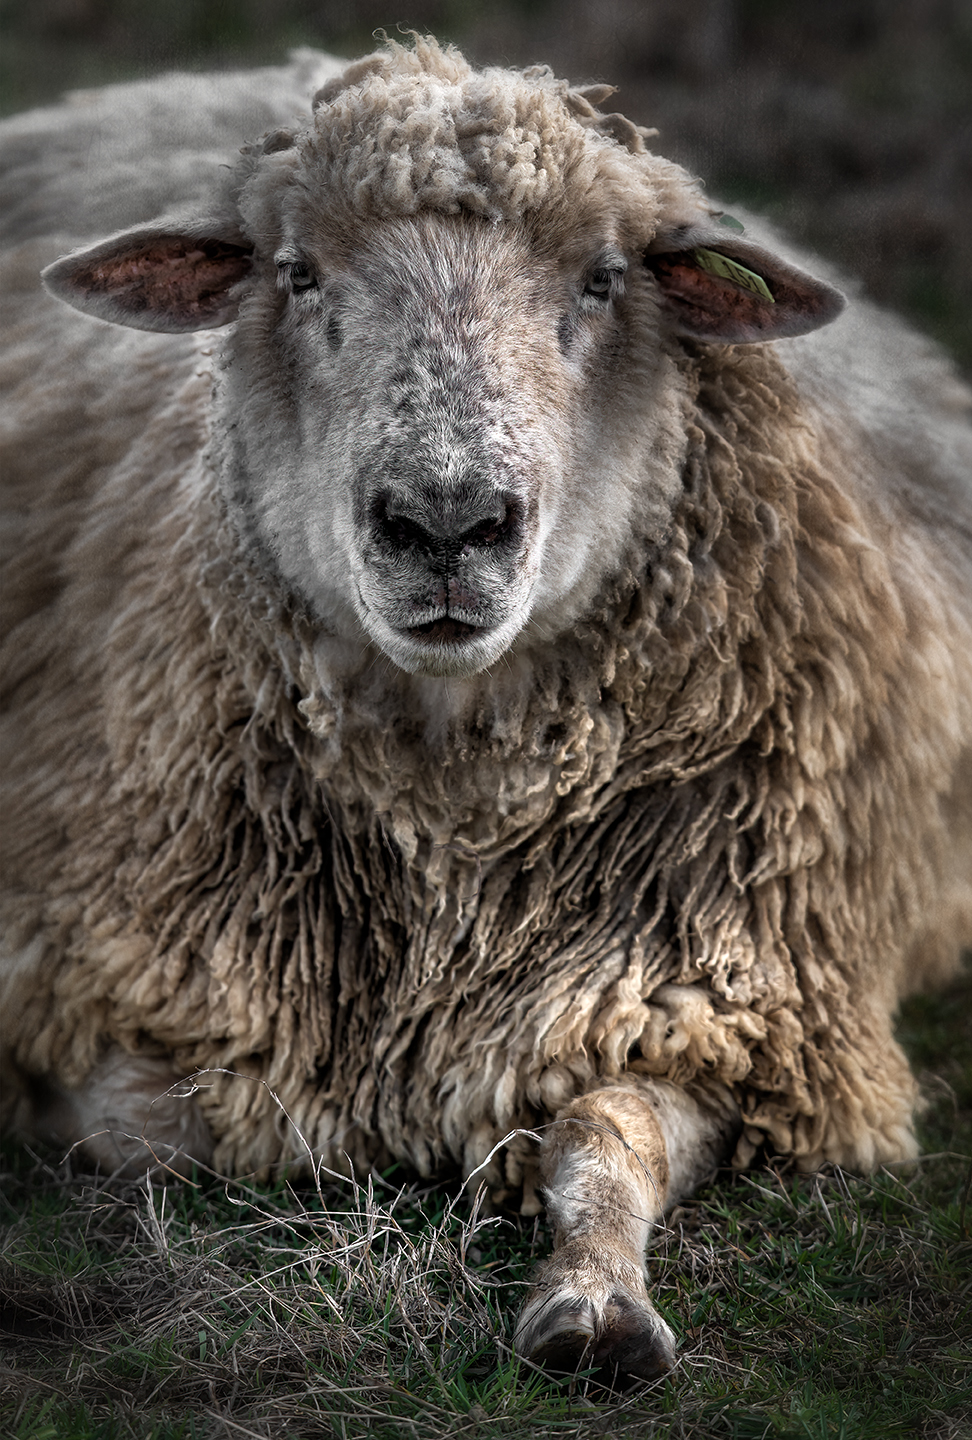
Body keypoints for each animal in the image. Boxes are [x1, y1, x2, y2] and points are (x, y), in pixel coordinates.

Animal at [2, 36, 970, 1387]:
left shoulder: (724, 1008)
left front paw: (592, 1299)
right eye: (295, 274)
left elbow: (608, 1134)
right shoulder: (128, 987)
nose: (448, 521)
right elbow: (185, 1127)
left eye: (607, 278)